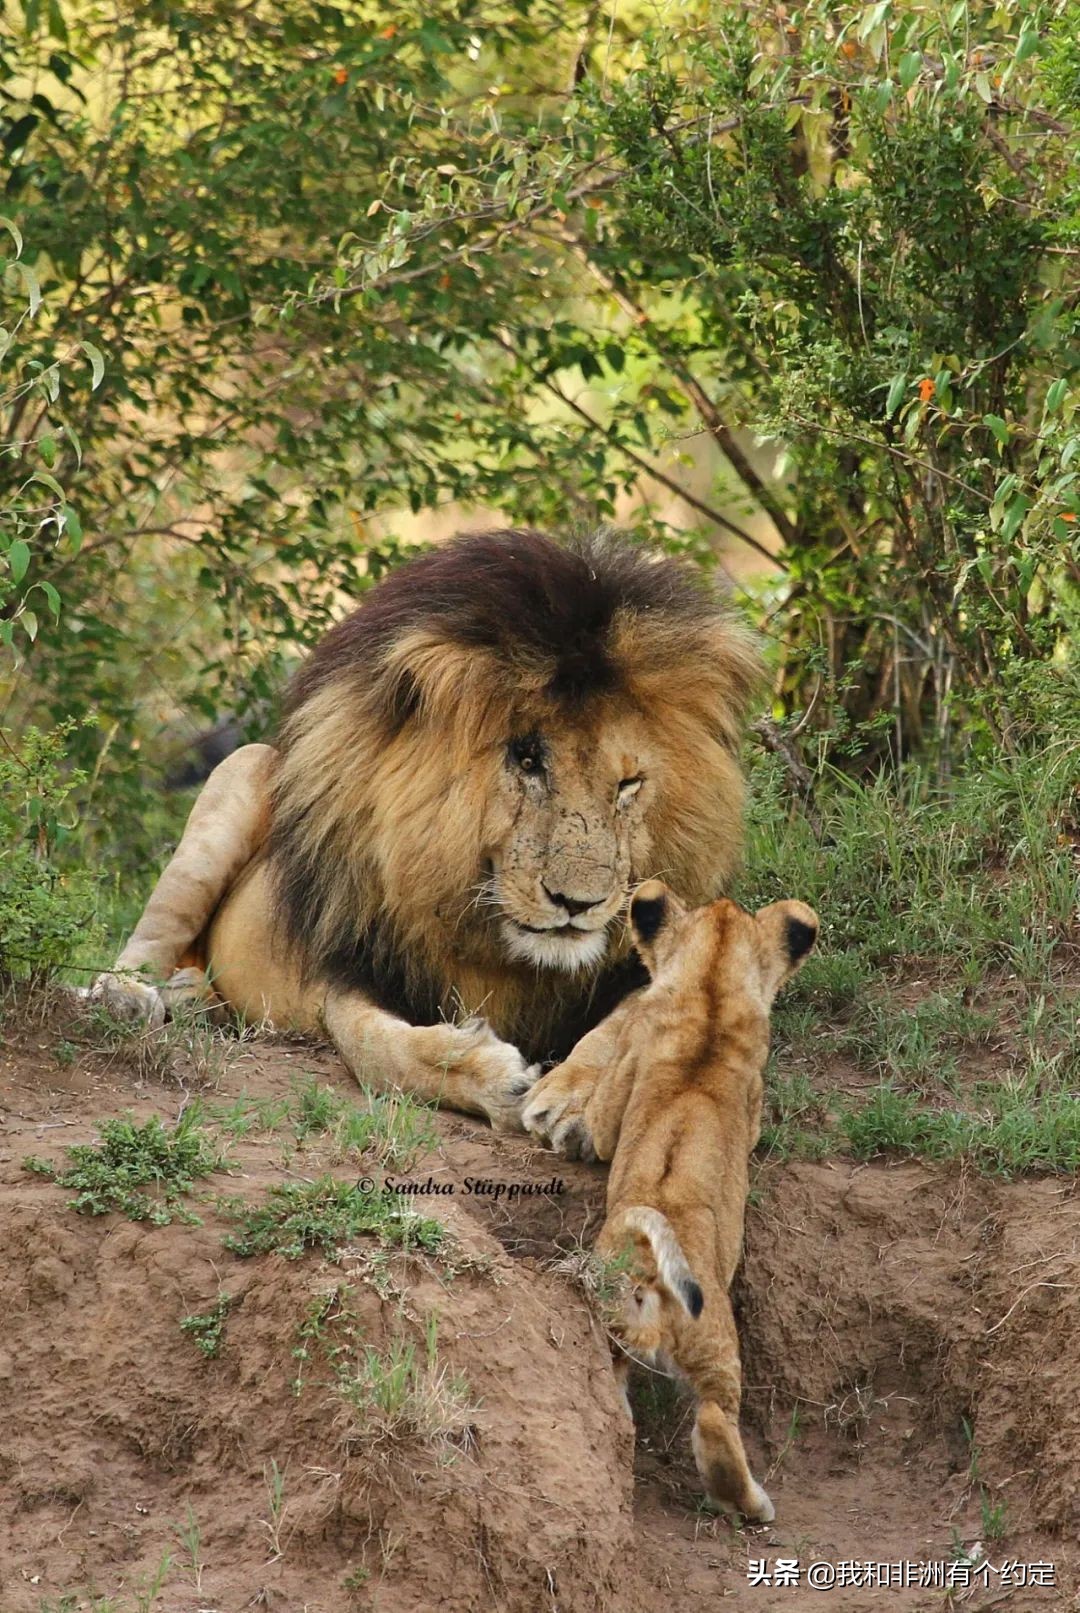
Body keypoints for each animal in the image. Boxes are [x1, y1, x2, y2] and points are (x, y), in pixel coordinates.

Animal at [92, 529, 761, 1137]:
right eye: (526, 760)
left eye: (628, 784)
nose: (579, 903)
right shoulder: (348, 970)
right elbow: (380, 1051)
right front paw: (494, 1078)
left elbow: (634, 1021)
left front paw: (583, 1094)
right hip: (239, 779)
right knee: (147, 940)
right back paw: (128, 996)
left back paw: (190, 995)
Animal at [553, 880, 817, 1520]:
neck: (710, 999)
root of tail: (649, 1272)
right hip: (715, 1343)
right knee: (717, 1420)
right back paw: (752, 1504)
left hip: (611, 1327)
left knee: (614, 1383)